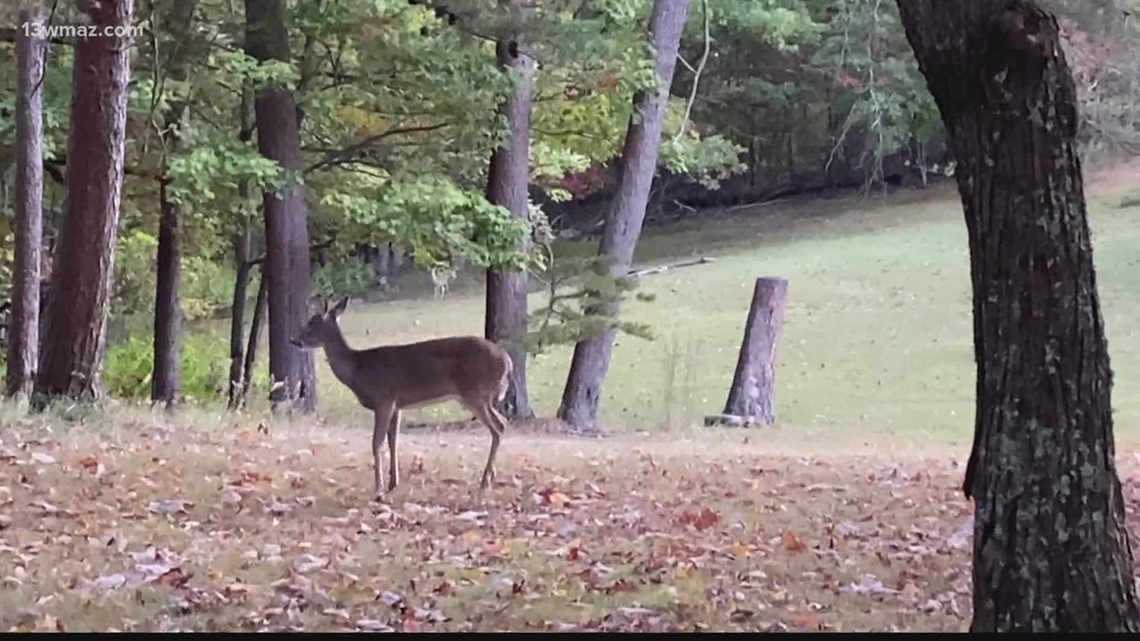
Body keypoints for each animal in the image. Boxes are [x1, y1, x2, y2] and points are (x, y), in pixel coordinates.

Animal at [290, 296, 512, 497]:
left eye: (312, 324)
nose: (294, 340)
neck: (358, 369)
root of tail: (507, 361)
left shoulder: (384, 400)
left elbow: (376, 443)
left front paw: (378, 488)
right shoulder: (397, 406)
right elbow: (393, 441)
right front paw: (392, 483)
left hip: (475, 393)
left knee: (498, 427)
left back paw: (485, 481)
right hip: (480, 396)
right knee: (502, 422)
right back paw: (490, 477)